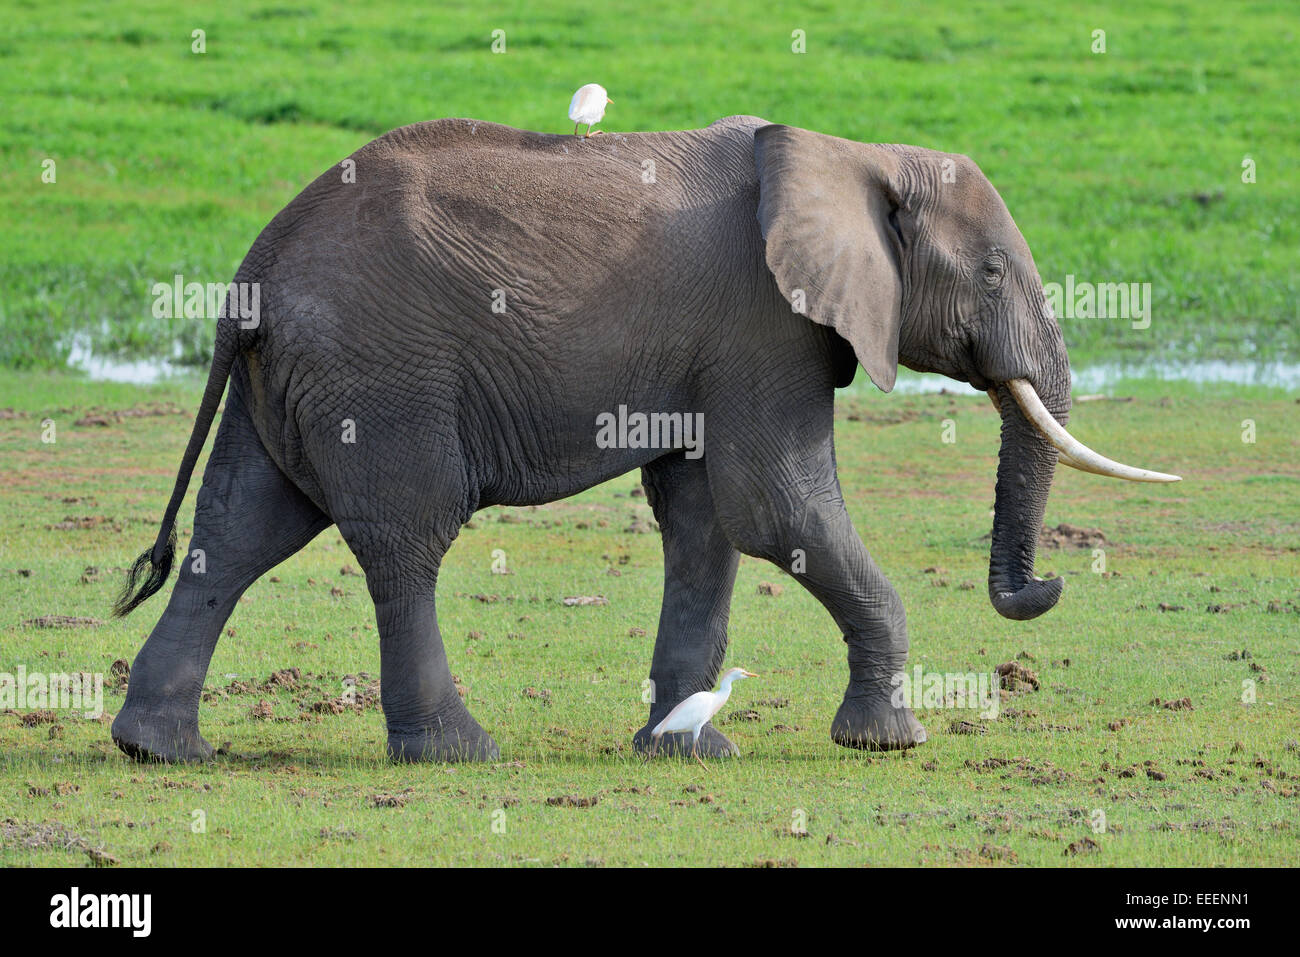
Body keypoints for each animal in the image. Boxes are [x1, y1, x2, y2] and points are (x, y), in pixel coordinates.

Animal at [110, 115, 1178, 764]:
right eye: (993, 272)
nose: (1046, 584)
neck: (851, 151)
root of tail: (254, 264)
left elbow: (708, 519)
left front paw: (686, 746)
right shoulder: (766, 324)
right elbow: (776, 505)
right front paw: (890, 741)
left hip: (293, 380)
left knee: (240, 530)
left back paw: (156, 748)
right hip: (379, 373)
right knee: (406, 539)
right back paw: (461, 752)